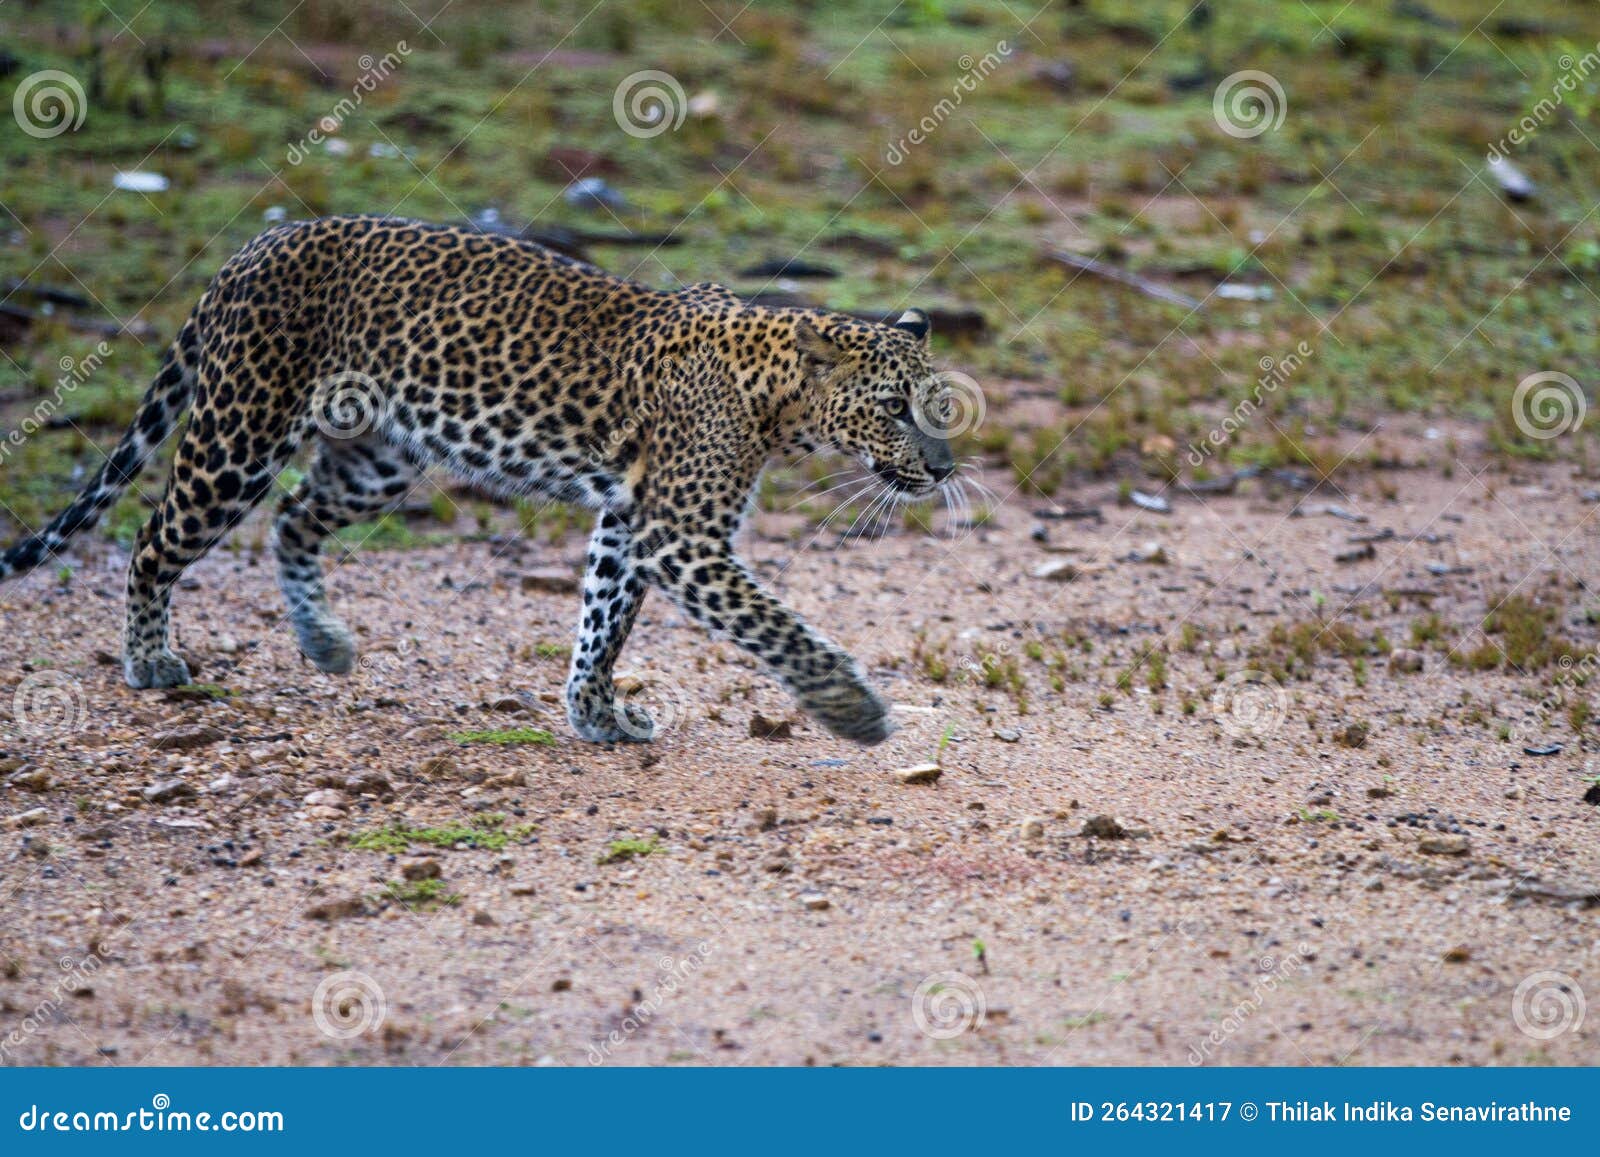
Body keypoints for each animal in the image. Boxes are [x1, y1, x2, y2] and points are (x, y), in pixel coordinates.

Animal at [0, 216, 968, 745]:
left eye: (937, 407)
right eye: (893, 409)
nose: (944, 468)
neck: (778, 400)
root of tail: (251, 248)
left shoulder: (630, 521)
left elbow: (603, 620)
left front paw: (595, 714)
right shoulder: (680, 536)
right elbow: (775, 623)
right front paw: (852, 709)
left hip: (383, 456)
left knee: (297, 517)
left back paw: (325, 643)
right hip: (241, 431)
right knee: (152, 540)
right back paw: (149, 659)